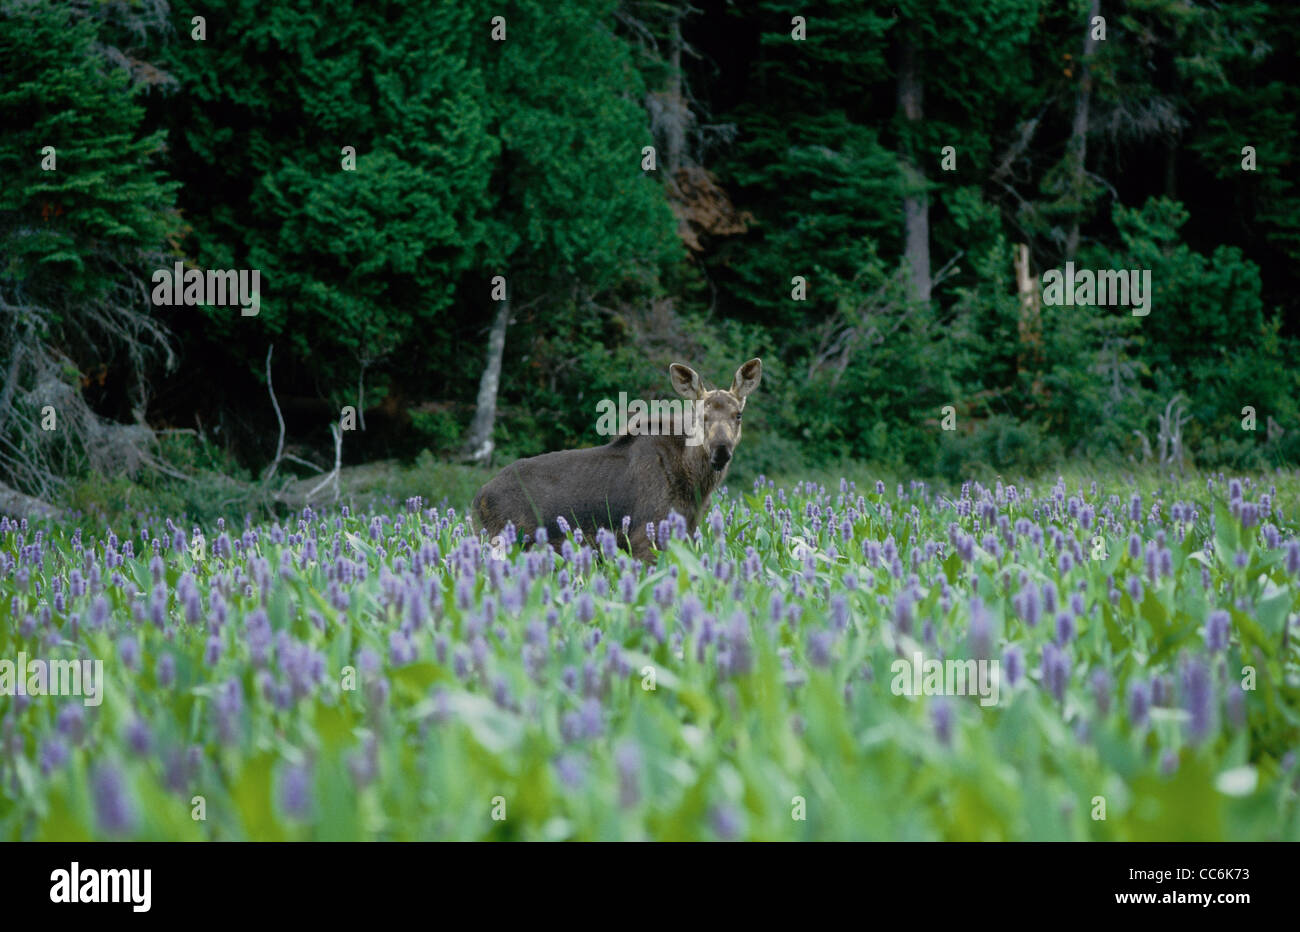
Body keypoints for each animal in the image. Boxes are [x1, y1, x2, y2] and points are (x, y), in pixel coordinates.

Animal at [472, 358, 762, 563]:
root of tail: (478, 498)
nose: (721, 450)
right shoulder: (645, 534)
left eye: (738, 415)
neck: (695, 486)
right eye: (701, 416)